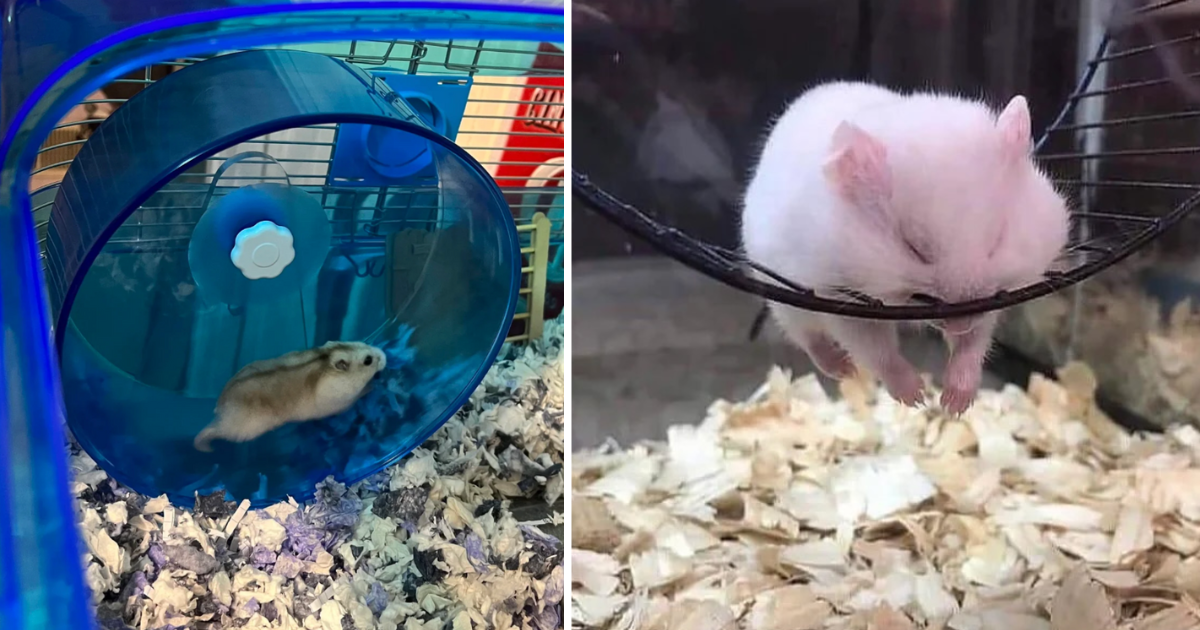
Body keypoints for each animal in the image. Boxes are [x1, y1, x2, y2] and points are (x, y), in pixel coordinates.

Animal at [193, 341, 387, 452]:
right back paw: (205, 447)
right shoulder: (340, 402)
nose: (385, 355)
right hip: (240, 430)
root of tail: (220, 407)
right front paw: (373, 385)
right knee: (212, 431)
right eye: (368, 360)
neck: (325, 361)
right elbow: (359, 394)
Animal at [741, 81, 1070, 414]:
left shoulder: (989, 303)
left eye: (998, 237)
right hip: (786, 301)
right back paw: (845, 370)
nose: (959, 326)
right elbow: (878, 352)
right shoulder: (838, 300)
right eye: (914, 247)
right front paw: (917, 398)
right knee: (809, 339)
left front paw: (953, 404)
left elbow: (973, 344)